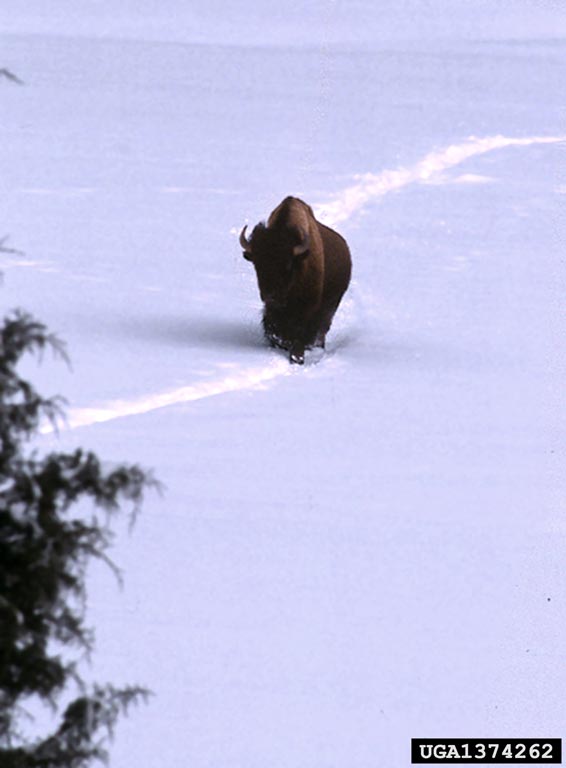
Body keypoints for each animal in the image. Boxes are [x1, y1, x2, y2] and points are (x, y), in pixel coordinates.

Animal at [240, 196, 352, 364]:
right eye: (257, 264)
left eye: (288, 264)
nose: (271, 296)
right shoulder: (272, 311)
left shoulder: (307, 309)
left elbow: (301, 333)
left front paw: (297, 357)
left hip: (331, 306)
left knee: (322, 330)